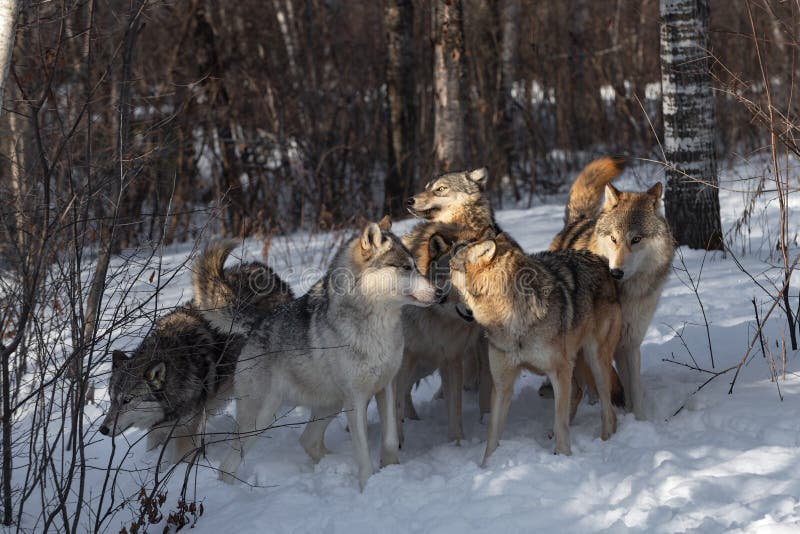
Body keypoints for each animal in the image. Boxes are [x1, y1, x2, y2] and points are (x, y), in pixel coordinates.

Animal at [99, 256, 293, 464]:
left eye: (127, 400)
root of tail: (265, 269)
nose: (103, 429)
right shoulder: (158, 430)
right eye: (112, 399)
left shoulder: (185, 431)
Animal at [194, 219, 439, 490]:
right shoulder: (356, 400)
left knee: (307, 440)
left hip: (330, 405)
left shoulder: (384, 387)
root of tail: (258, 321)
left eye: (416, 265)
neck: (376, 328)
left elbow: (390, 438)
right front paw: (367, 486)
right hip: (261, 419)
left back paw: (332, 464)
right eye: (406, 268)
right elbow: (363, 453)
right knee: (227, 467)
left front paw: (390, 470)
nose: (440, 293)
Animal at [449, 232, 622, 463]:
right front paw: (488, 466)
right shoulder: (502, 384)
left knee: (609, 411)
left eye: (450, 267)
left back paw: (604, 441)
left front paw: (563, 457)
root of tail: (601, 261)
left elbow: (561, 424)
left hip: (595, 362)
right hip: (575, 363)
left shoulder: (558, 372)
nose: (434, 291)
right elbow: (492, 436)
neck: (508, 314)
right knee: (578, 392)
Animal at [544, 156, 675, 419]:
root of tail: (578, 220)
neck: (625, 294)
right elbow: (612, 382)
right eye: (613, 239)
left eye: (636, 239)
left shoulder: (630, 344)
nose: (616, 272)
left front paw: (639, 420)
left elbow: (634, 392)